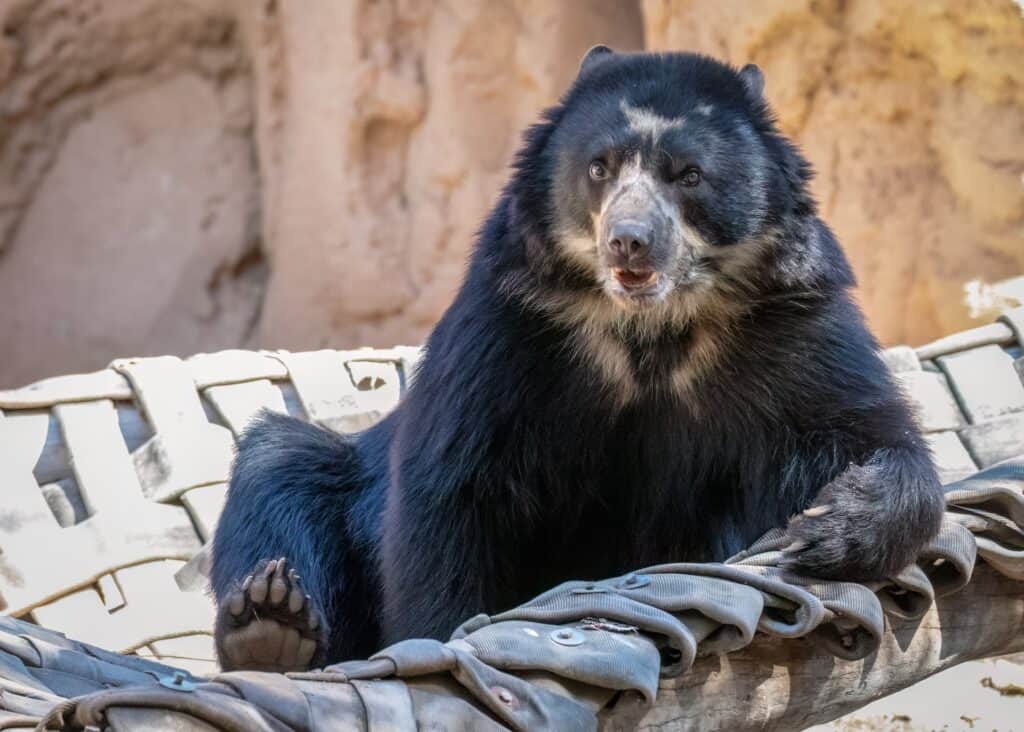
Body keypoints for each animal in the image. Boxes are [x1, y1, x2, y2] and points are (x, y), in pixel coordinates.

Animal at [209, 48, 944, 672]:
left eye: (689, 174)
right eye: (600, 166)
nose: (629, 242)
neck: (650, 328)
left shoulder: (793, 325)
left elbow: (875, 435)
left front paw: (822, 530)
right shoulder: (506, 328)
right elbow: (450, 491)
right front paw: (443, 643)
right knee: (280, 464)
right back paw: (270, 624)